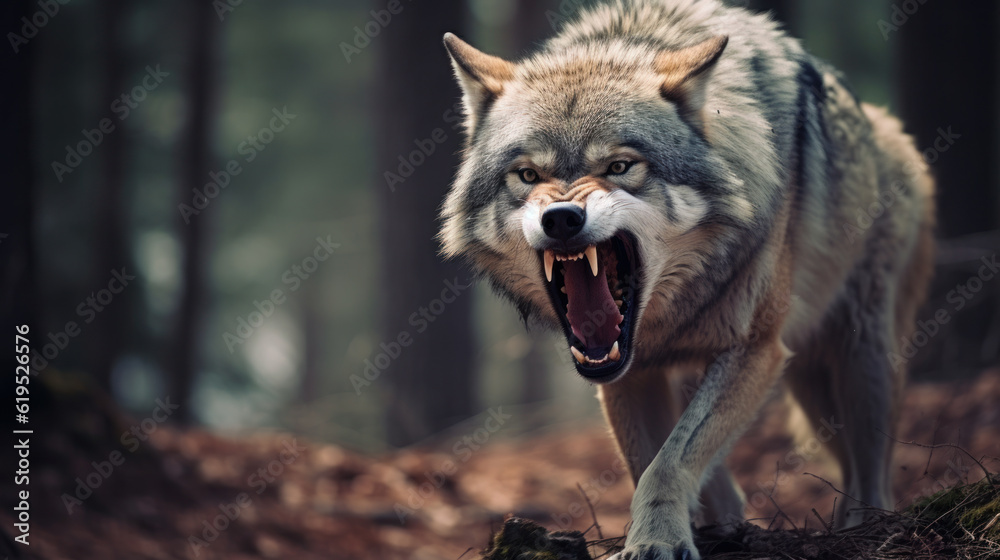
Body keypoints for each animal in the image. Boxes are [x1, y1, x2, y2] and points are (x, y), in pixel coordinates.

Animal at [438, 1, 935, 558]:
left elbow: (672, 460)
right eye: (527, 176)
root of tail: (881, 122)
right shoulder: (631, 373)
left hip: (861, 357)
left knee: (872, 472)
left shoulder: (756, 349)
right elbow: (650, 460)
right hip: (808, 380)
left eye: (619, 166)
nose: (562, 218)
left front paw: (658, 538)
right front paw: (692, 527)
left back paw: (862, 526)